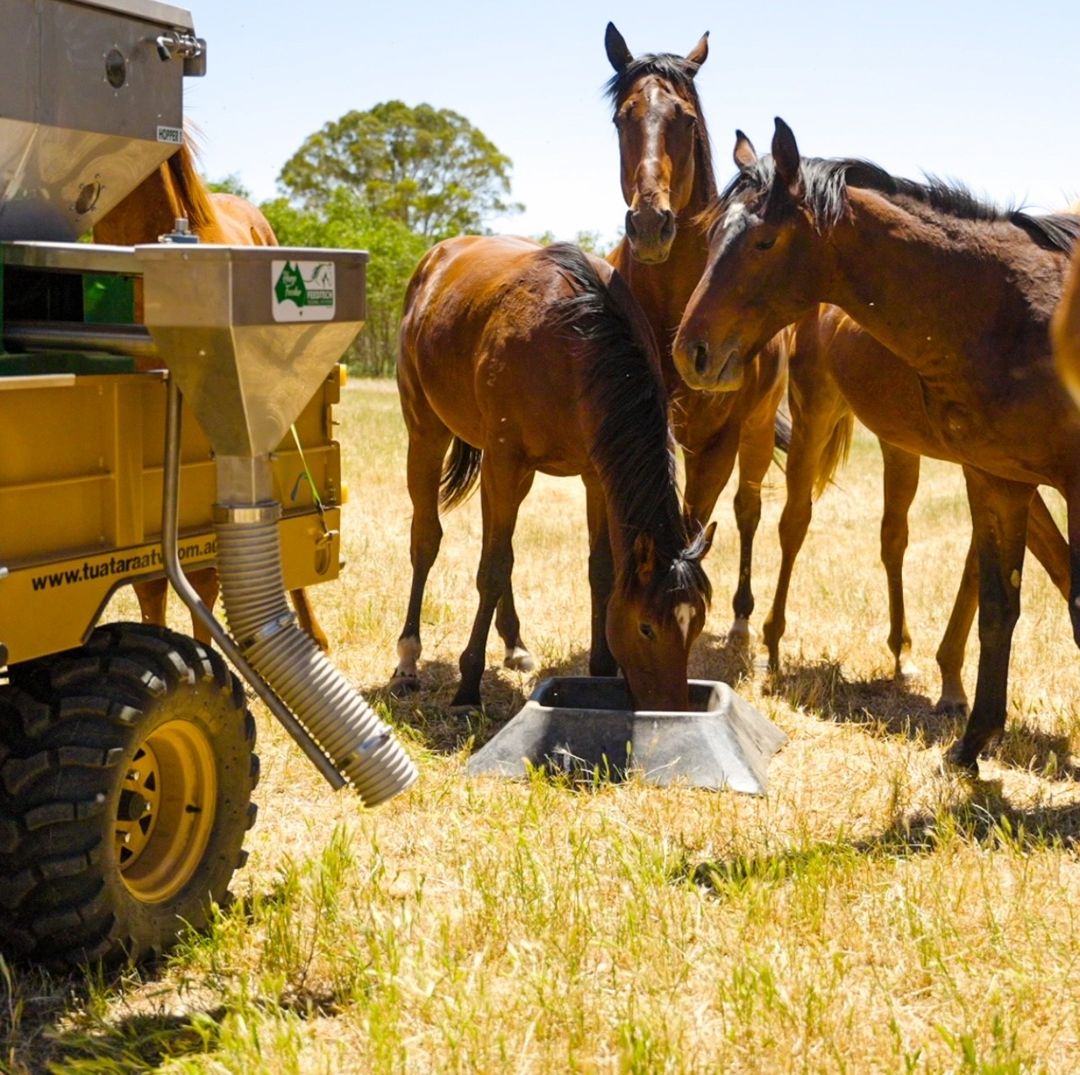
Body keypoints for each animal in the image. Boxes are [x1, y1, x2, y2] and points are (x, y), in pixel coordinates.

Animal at [392, 237, 713, 711]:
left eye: (697, 625)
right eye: (647, 628)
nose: (672, 710)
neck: (576, 339)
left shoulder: (595, 475)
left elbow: (598, 570)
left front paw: (601, 669)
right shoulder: (505, 462)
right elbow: (491, 568)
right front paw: (468, 687)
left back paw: (514, 644)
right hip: (427, 434)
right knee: (427, 540)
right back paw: (408, 659)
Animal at [603, 25, 787, 658]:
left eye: (683, 117)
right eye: (623, 118)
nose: (650, 225)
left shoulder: (720, 441)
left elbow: (697, 521)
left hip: (755, 432)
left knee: (748, 511)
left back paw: (740, 623)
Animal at [674, 117, 1080, 772]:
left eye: (764, 242)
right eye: (711, 237)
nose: (693, 352)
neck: (1017, 314)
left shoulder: (1019, 479)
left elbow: (1016, 592)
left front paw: (969, 720)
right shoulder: (1000, 478)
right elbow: (1007, 601)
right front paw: (972, 737)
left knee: (889, 537)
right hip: (818, 420)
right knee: (795, 524)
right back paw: (773, 644)